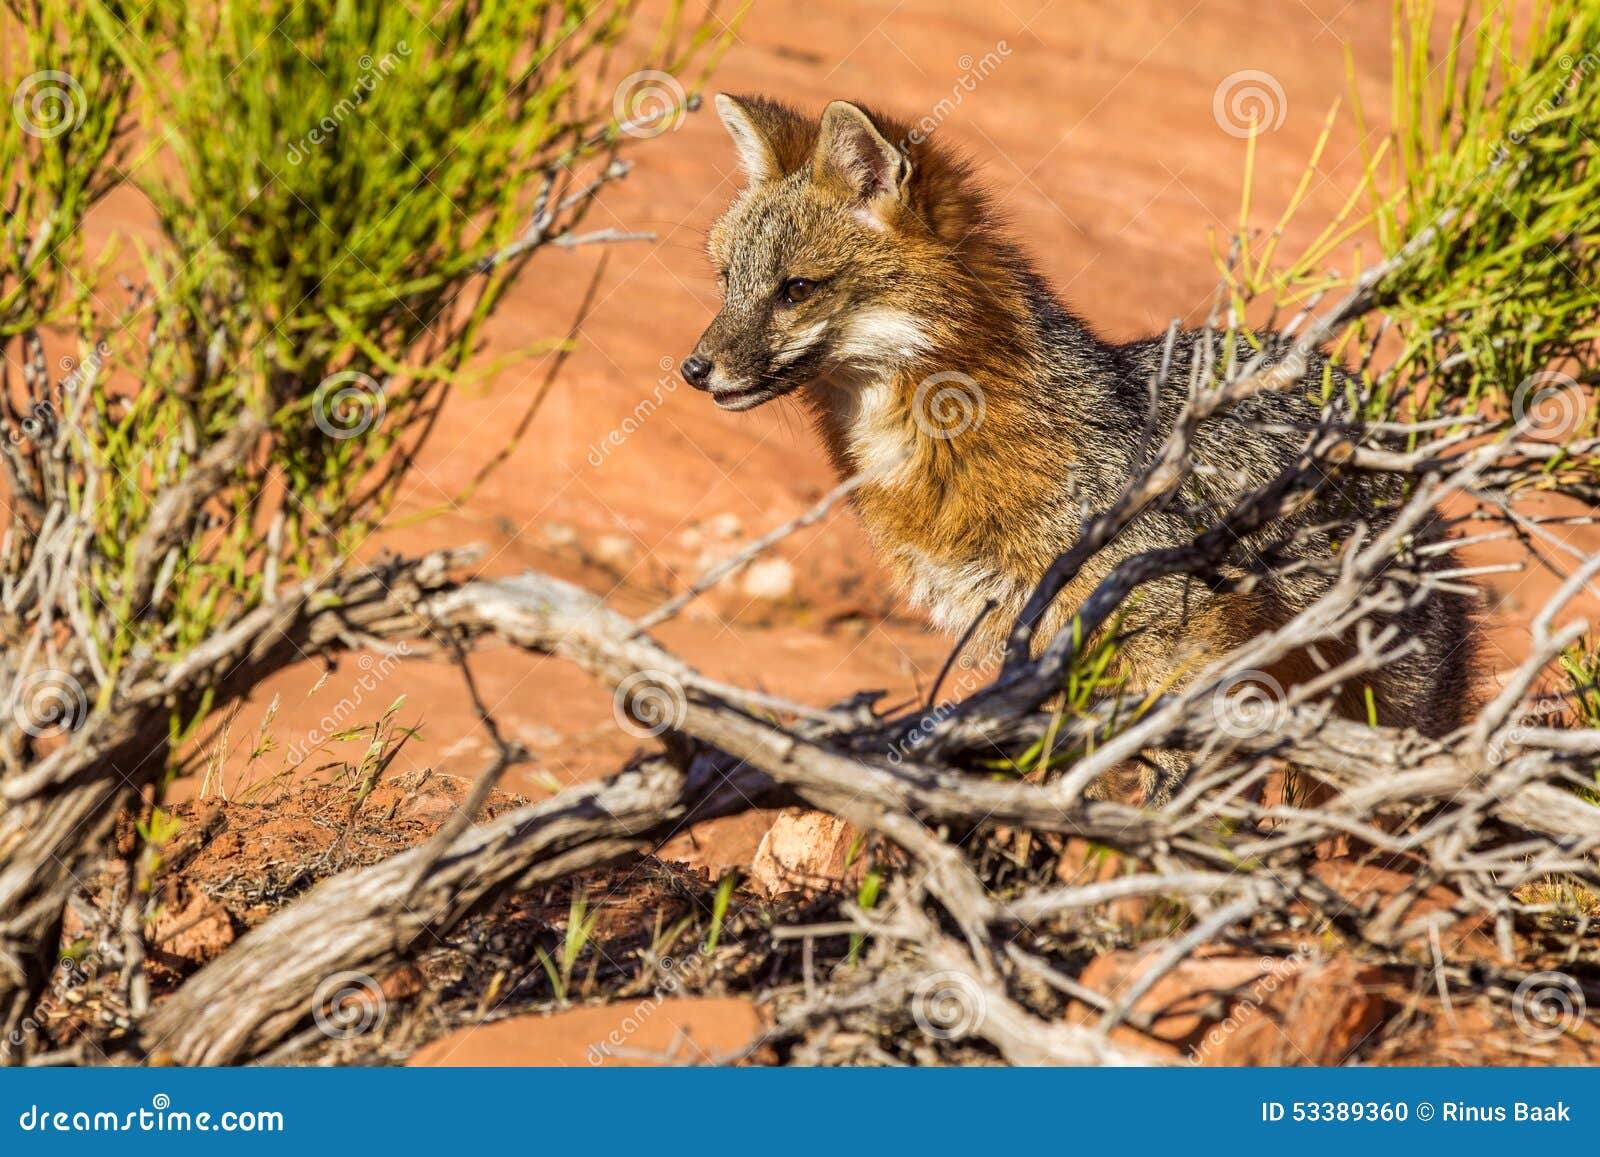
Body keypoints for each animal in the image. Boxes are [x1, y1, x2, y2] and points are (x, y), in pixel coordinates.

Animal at [682, 94, 1475, 803]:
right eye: (726, 282)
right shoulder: (1016, 636)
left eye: (796, 289)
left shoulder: (1170, 621)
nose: (693, 369)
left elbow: (1162, 754)